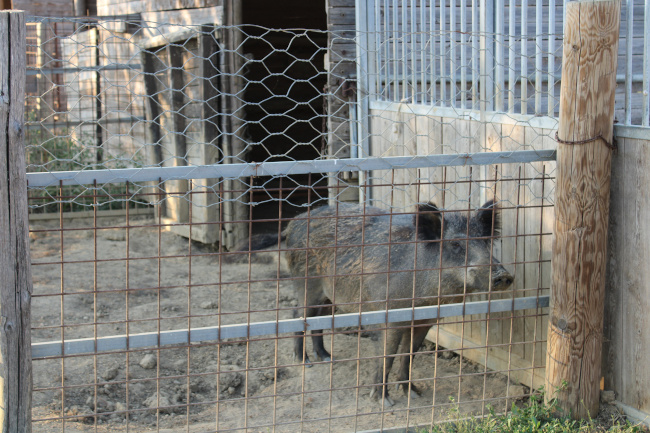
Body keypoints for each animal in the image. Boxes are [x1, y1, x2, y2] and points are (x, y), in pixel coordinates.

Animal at [243, 200, 513, 406]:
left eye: (485, 242)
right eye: (456, 244)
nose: (503, 275)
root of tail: (293, 223)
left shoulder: (426, 322)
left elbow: (409, 356)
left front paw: (414, 393)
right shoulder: (390, 315)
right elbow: (388, 356)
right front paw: (383, 401)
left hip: (330, 295)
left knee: (319, 319)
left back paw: (327, 358)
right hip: (305, 283)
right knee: (297, 314)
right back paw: (304, 362)